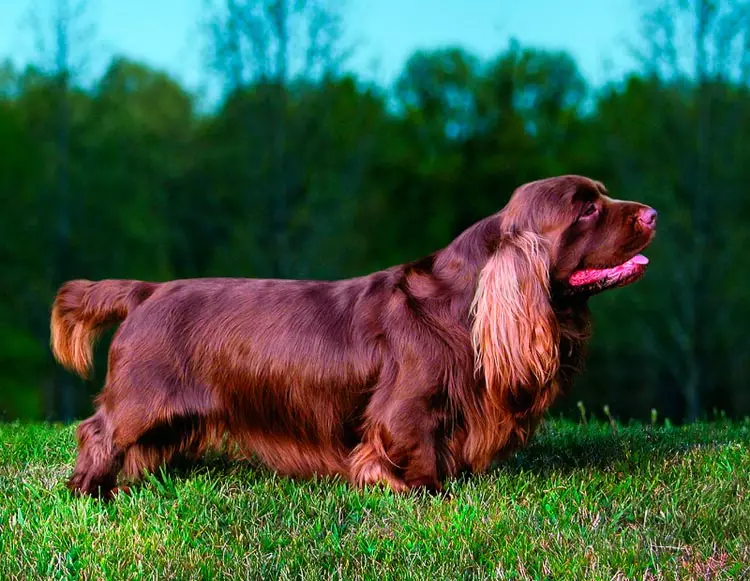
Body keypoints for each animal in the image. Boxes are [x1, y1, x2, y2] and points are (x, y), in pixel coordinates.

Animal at [51, 174, 656, 496]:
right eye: (587, 209)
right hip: (140, 397)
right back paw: (89, 491)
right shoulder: (405, 411)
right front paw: (426, 495)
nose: (652, 212)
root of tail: (147, 291)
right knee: (97, 432)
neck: (464, 303)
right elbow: (416, 457)